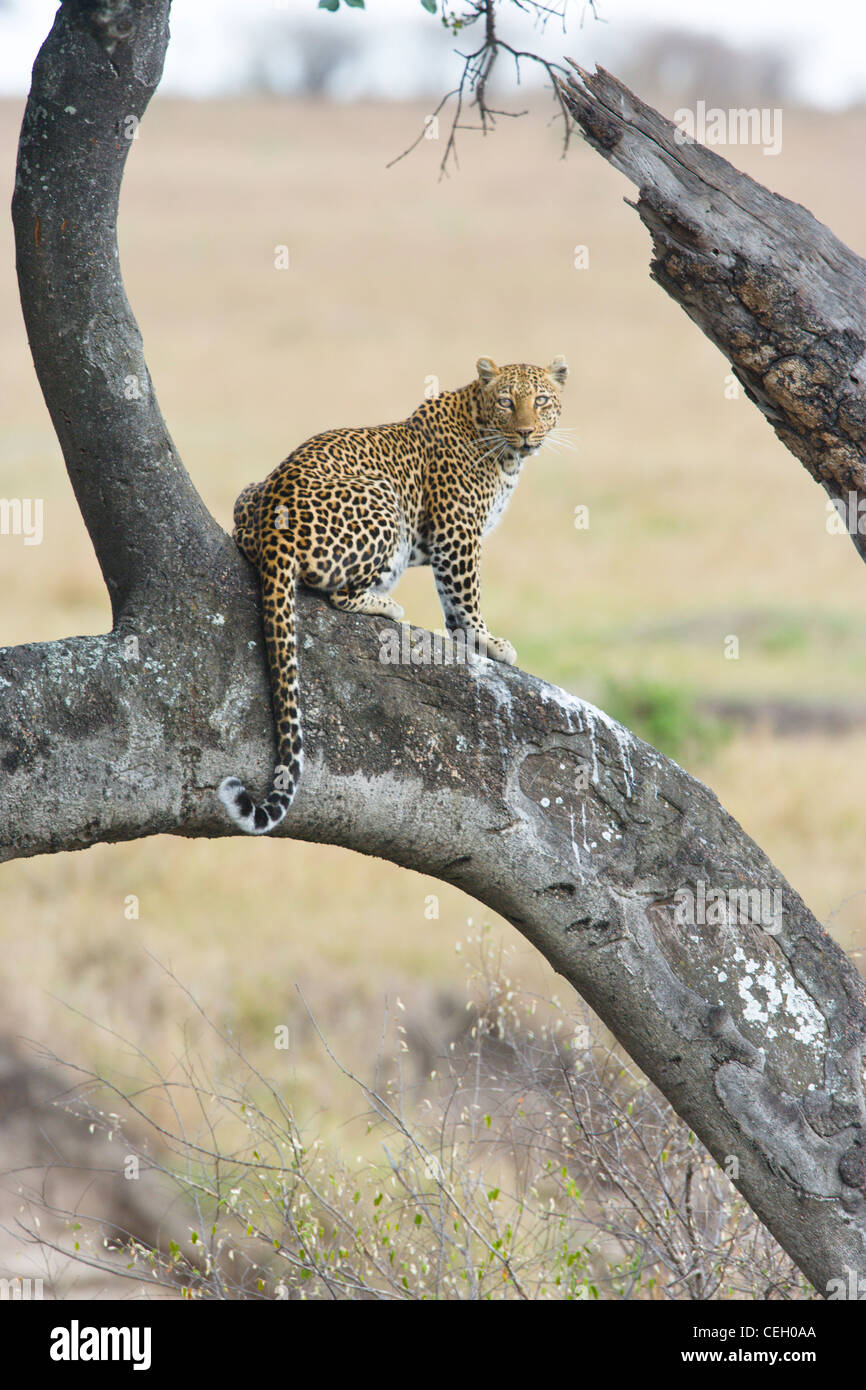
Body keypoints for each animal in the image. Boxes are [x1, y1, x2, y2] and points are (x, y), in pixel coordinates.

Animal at [218, 355, 568, 835]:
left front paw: (466, 640)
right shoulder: (458, 533)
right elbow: (467, 594)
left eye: (542, 400)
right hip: (385, 500)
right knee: (339, 594)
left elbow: (453, 603)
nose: (527, 432)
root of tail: (274, 523)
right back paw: (386, 604)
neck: (502, 450)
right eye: (506, 402)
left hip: (250, 495)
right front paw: (489, 641)